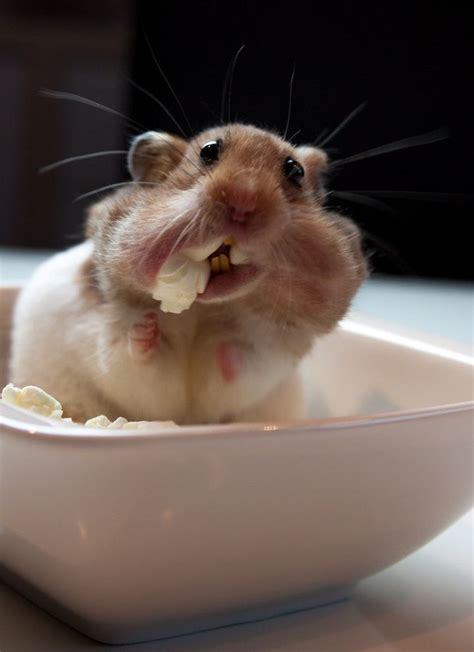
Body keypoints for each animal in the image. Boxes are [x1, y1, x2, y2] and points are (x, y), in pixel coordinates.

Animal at [10, 124, 367, 424]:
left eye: (295, 170)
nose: (244, 200)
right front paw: (146, 328)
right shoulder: (109, 350)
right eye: (208, 151)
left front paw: (228, 347)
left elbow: (242, 369)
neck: (204, 308)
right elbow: (133, 361)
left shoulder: (271, 360)